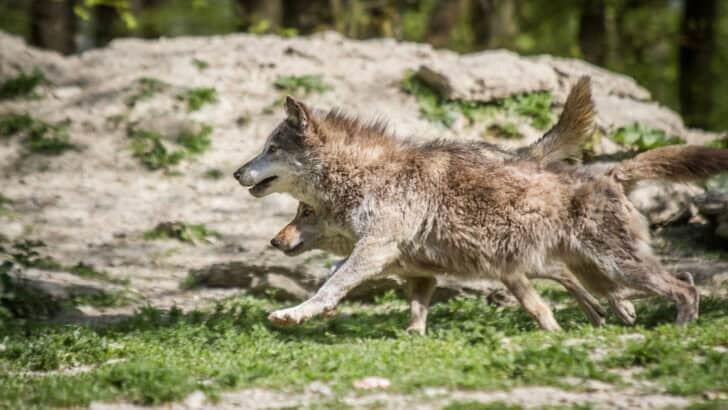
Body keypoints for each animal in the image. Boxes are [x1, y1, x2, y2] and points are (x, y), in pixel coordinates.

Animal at [235, 78, 727, 331]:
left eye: (270, 149)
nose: (238, 173)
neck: (366, 176)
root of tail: (607, 175)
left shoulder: (375, 247)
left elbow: (330, 284)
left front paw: (295, 314)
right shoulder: (398, 261)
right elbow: (349, 285)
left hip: (617, 266)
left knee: (684, 287)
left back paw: (679, 333)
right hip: (597, 270)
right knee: (665, 283)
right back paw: (622, 317)